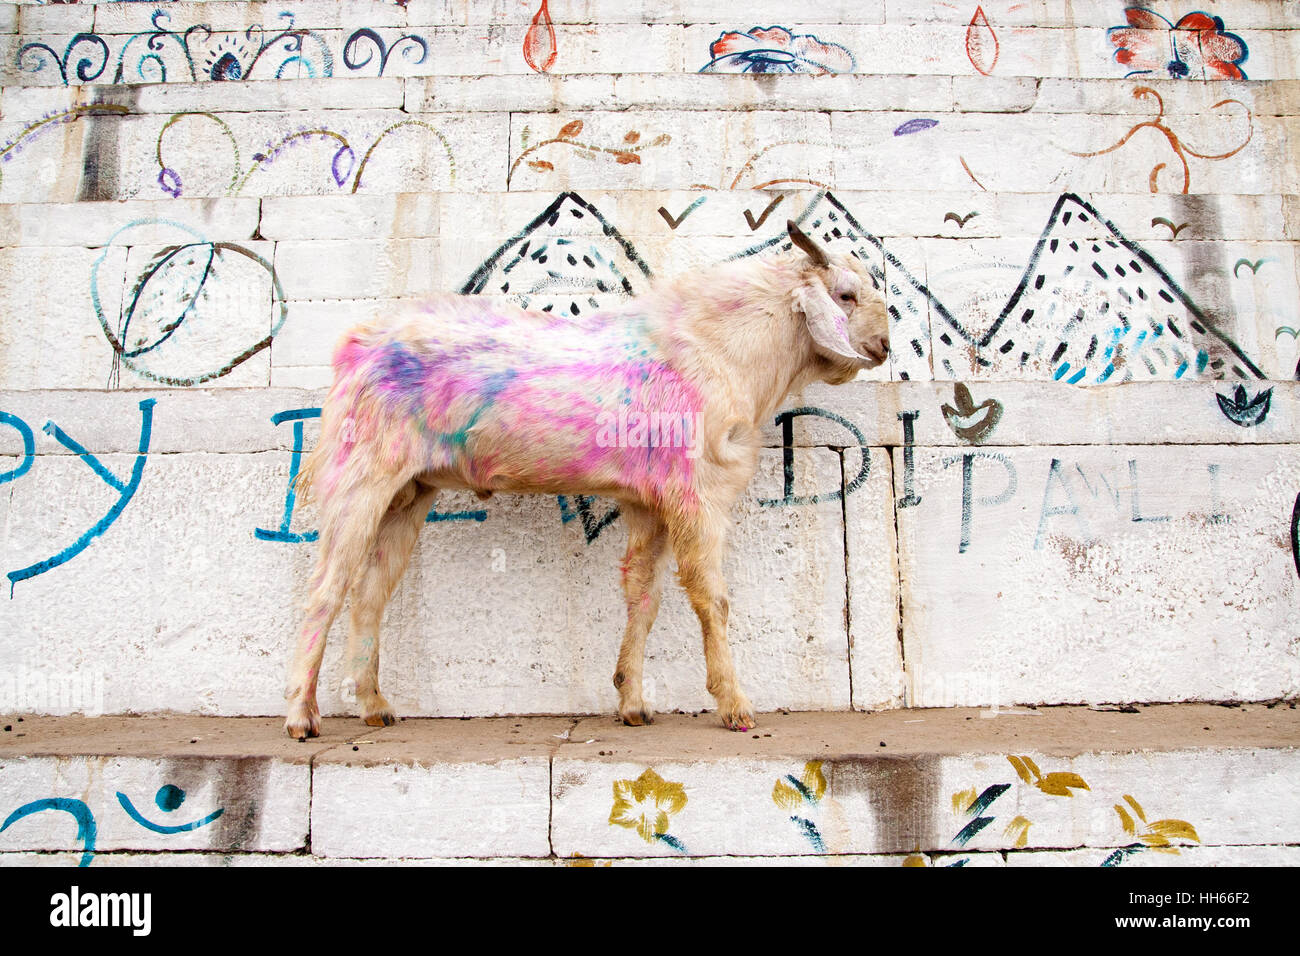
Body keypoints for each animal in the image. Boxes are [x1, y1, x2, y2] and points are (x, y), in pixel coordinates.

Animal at [284, 221, 889, 738]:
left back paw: (374, 707)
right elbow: (711, 596)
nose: (883, 347)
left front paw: (632, 703)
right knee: (325, 590)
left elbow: (643, 594)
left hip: (409, 493)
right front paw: (735, 706)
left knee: (369, 595)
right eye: (845, 294)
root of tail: (356, 346)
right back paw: (301, 716)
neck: (721, 351)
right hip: (360, 475)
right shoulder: (698, 495)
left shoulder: (650, 501)